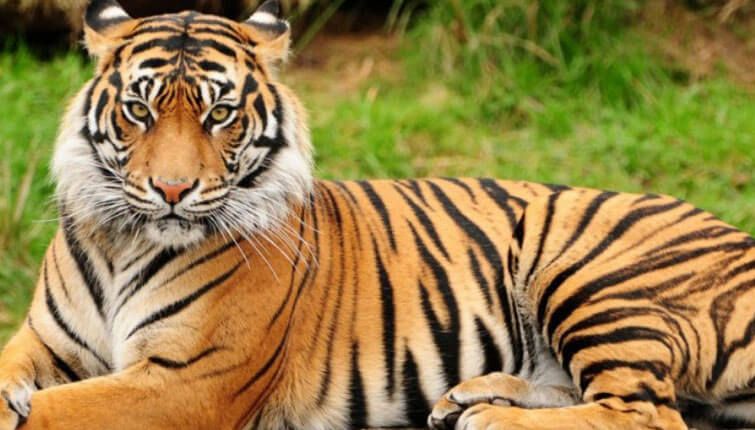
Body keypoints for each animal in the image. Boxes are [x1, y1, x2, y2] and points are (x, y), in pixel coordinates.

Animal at [0, 0, 753, 429]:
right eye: (140, 110)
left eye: (219, 115)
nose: (173, 190)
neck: (122, 239)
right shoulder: (43, 343)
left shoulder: (187, 380)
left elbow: (50, 413)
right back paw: (471, 398)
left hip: (585, 270)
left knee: (646, 413)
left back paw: (489, 420)